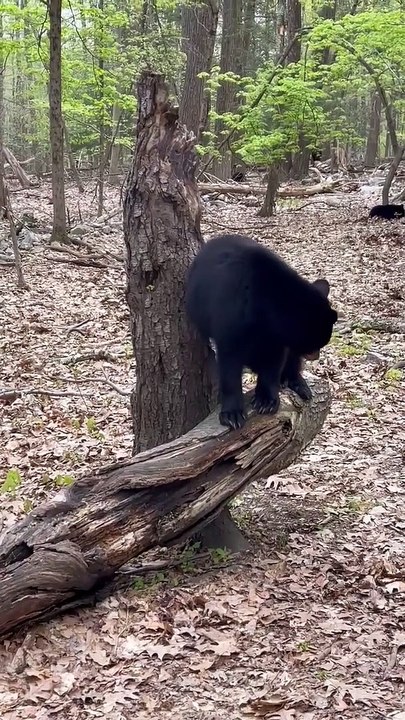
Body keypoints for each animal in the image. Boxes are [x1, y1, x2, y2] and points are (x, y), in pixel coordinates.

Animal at [185, 234, 338, 429]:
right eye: (317, 341)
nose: (315, 355)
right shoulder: (231, 318)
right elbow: (229, 364)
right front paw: (232, 414)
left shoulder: (277, 338)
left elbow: (273, 363)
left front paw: (266, 401)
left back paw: (298, 383)